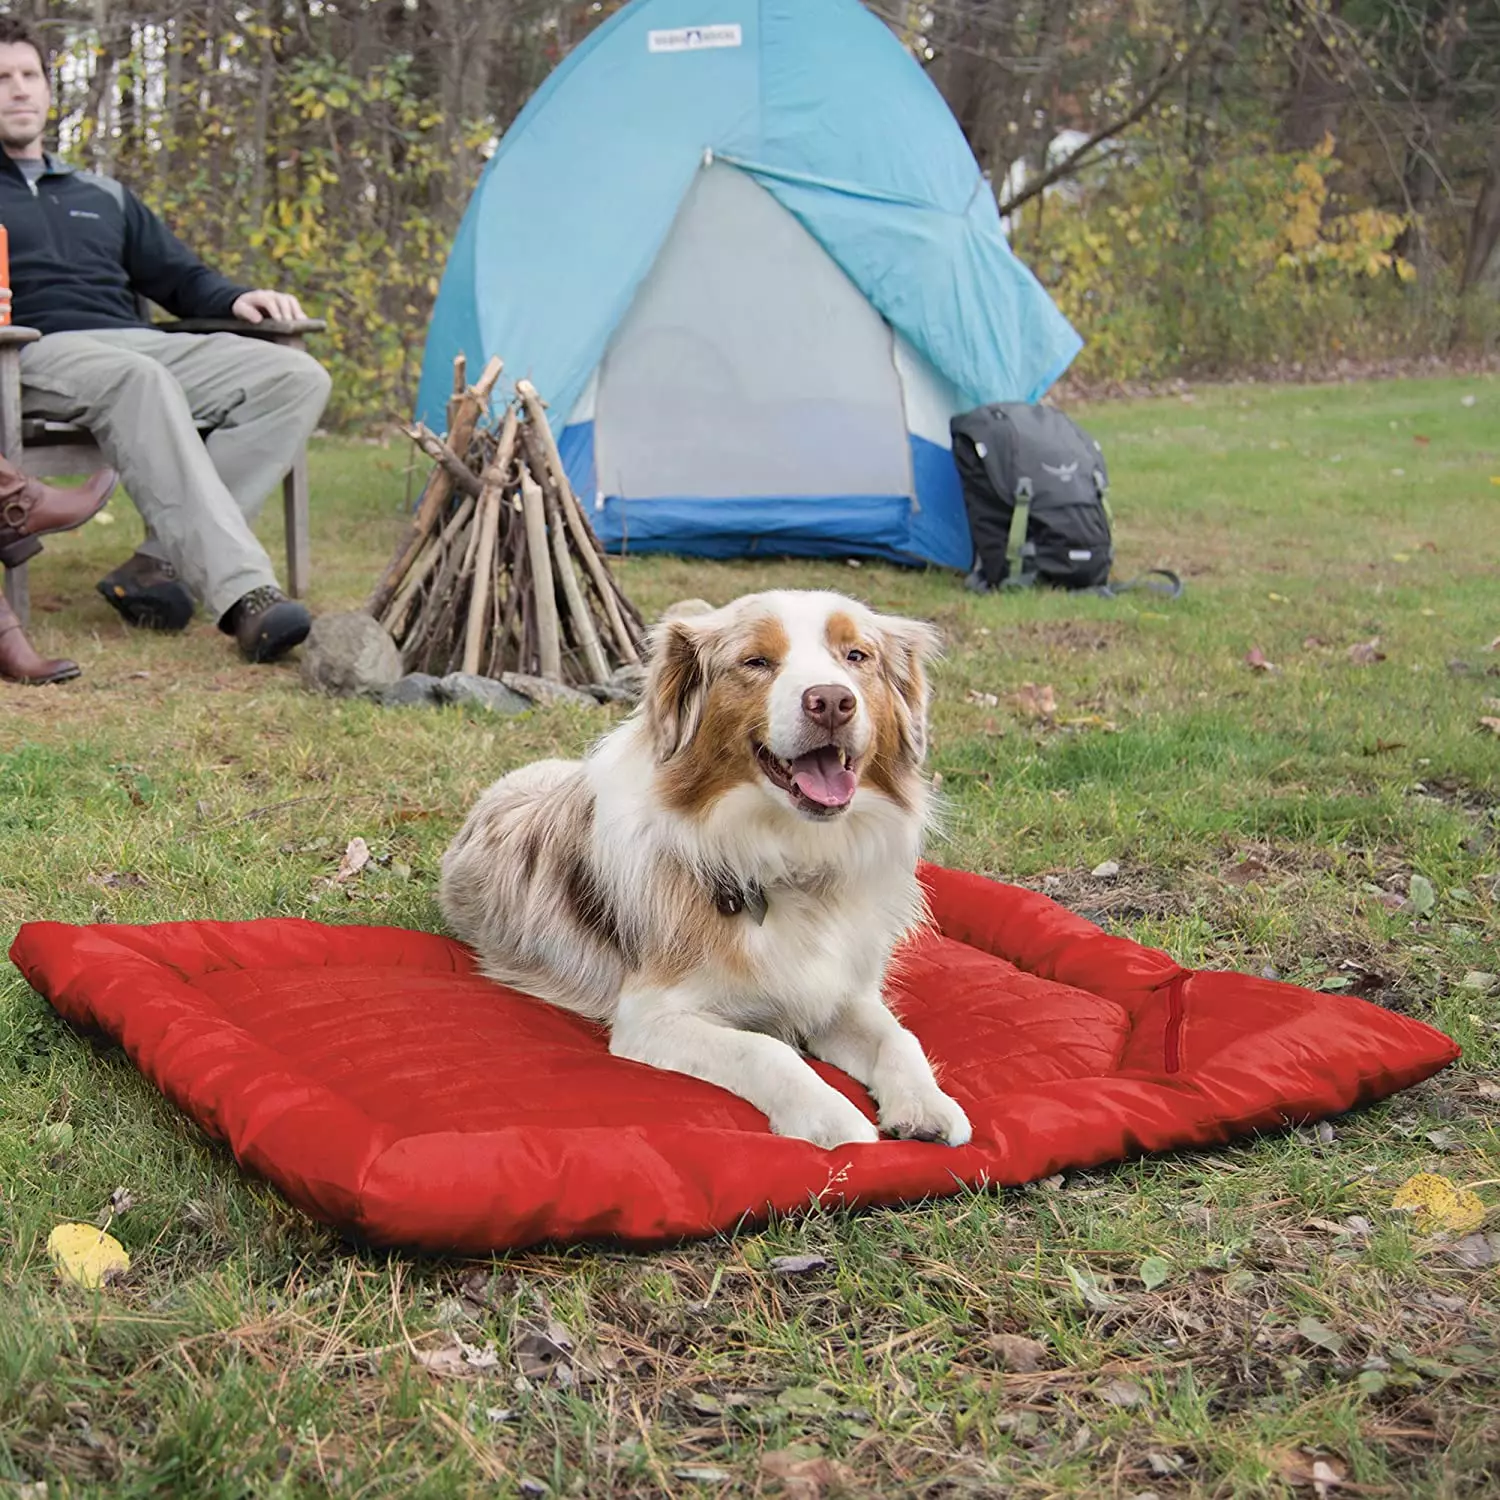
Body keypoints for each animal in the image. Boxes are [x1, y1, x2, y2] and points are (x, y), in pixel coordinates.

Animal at [435, 585, 972, 1146]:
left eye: (856, 656)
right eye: (756, 662)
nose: (831, 702)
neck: (791, 859)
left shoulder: (840, 992)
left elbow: (899, 1037)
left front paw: (927, 1104)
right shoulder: (650, 1016)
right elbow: (767, 1049)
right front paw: (832, 1116)